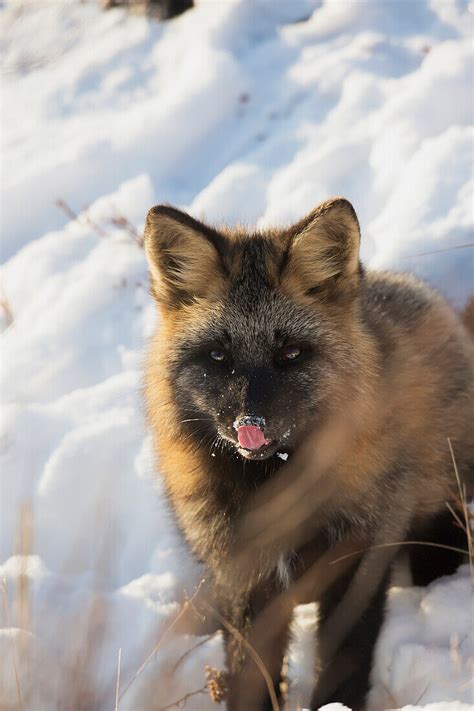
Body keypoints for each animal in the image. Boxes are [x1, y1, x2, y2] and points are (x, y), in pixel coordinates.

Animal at [143, 197, 473, 711]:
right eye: (218, 356)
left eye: (291, 353)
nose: (250, 426)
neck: (275, 492)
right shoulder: (242, 582)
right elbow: (251, 676)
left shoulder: (356, 564)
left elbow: (342, 665)